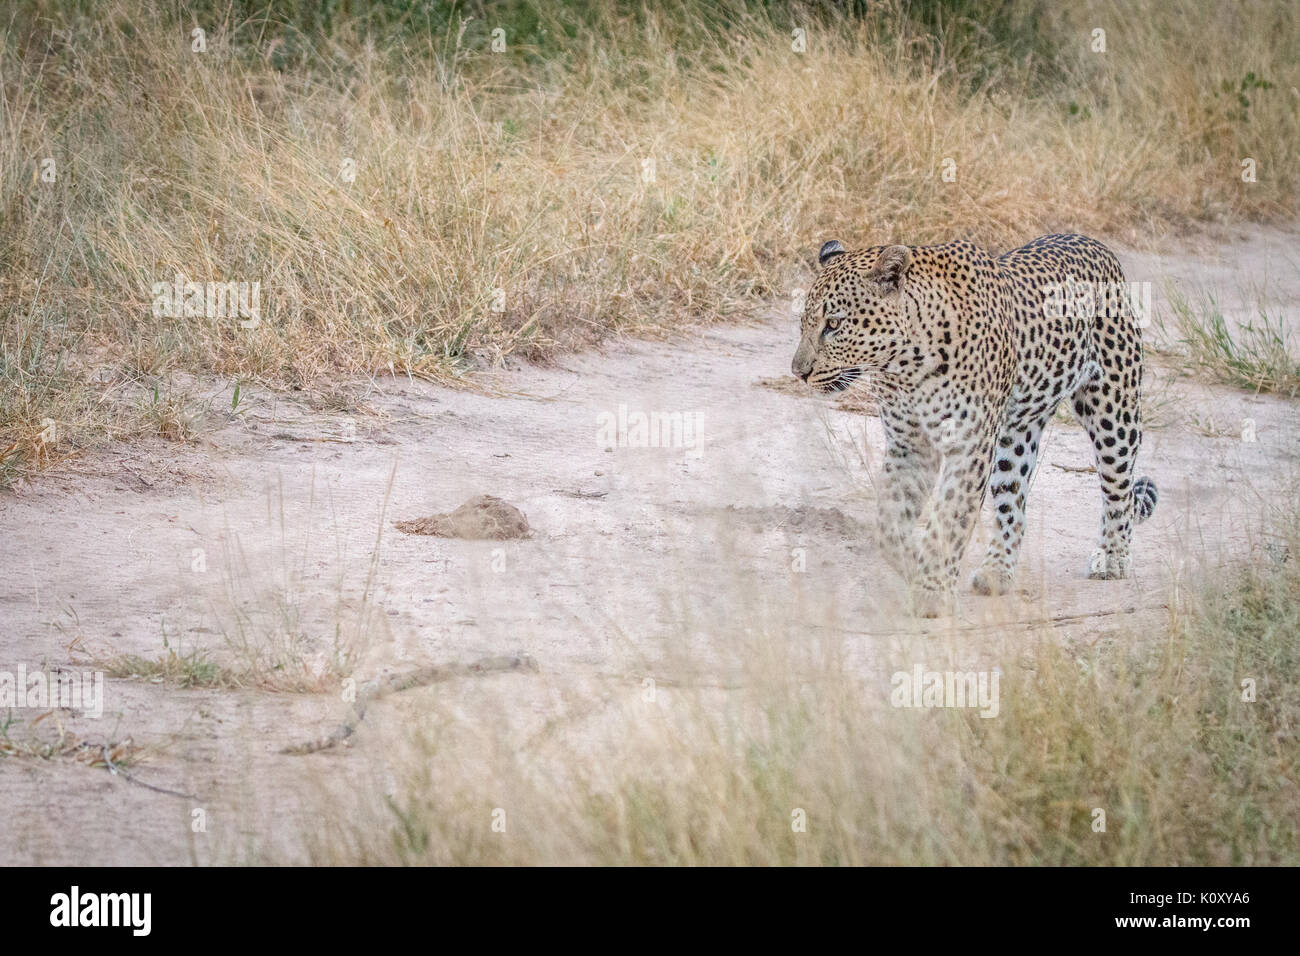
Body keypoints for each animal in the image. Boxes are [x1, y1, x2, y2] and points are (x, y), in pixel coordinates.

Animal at [791, 233, 1157, 616]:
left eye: (833, 324)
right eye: (803, 324)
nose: (798, 372)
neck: (904, 366)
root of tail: (1093, 243)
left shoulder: (969, 444)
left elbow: (951, 516)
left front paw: (933, 589)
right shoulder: (910, 445)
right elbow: (888, 524)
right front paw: (916, 563)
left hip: (1113, 409)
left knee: (1119, 487)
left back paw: (1113, 557)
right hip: (1014, 438)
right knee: (1013, 504)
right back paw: (997, 569)